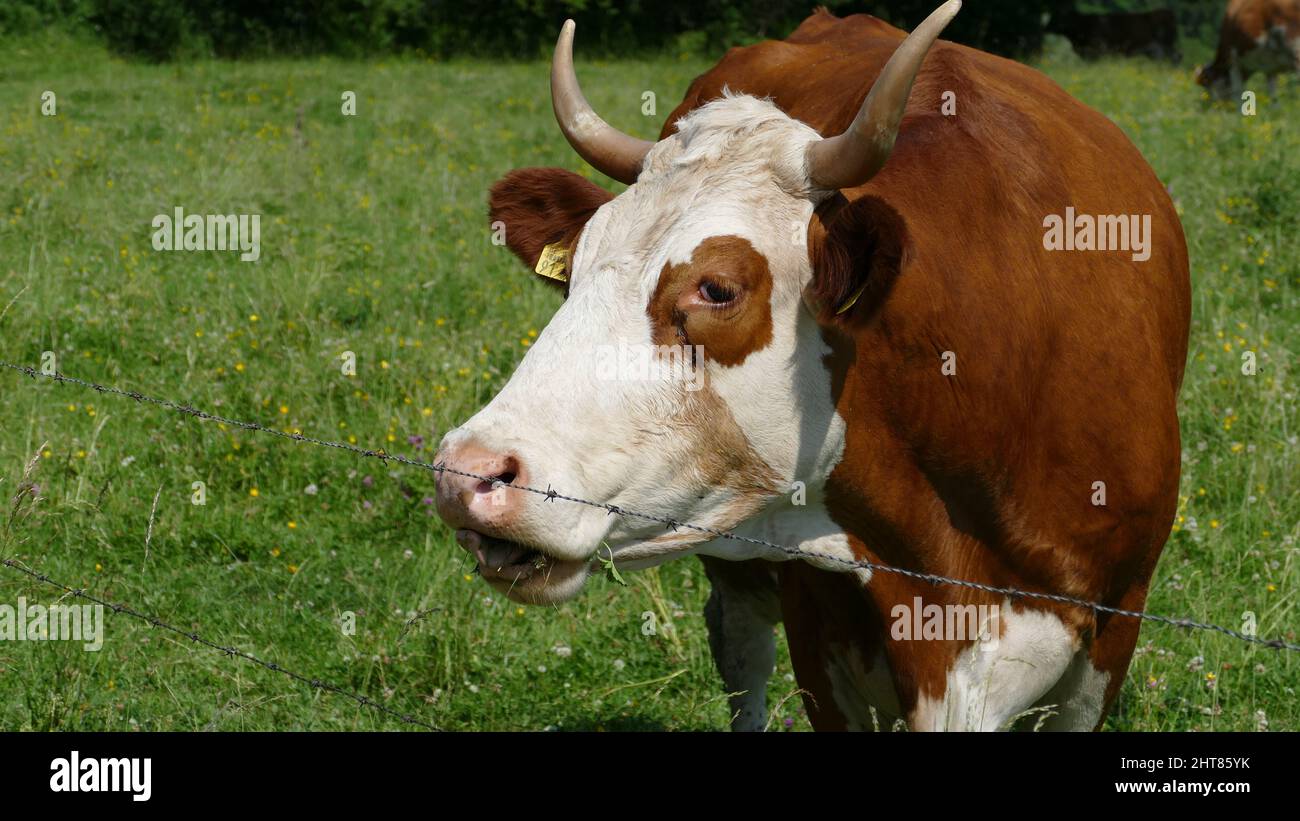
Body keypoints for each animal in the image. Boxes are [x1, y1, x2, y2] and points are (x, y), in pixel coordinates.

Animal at [1050, 8, 1181, 62]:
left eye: (1057, 18)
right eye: (1053, 18)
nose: (1047, 27)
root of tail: (1170, 13)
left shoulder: (1098, 49)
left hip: (1163, 45)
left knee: (1175, 56)